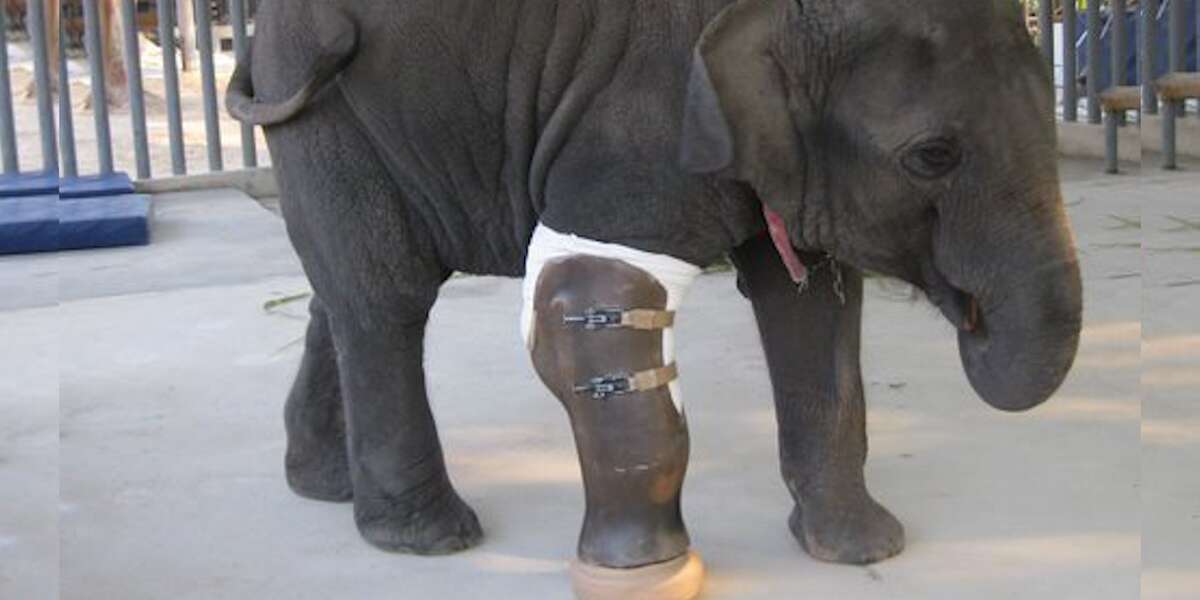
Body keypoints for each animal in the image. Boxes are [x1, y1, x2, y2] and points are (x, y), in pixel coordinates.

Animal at [228, 0, 1082, 595]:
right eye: (933, 156)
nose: (970, 312)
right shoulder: (636, 114)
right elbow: (588, 298)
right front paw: (646, 572)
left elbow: (812, 306)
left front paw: (861, 550)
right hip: (329, 107)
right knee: (388, 294)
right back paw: (429, 537)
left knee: (343, 289)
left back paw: (326, 487)